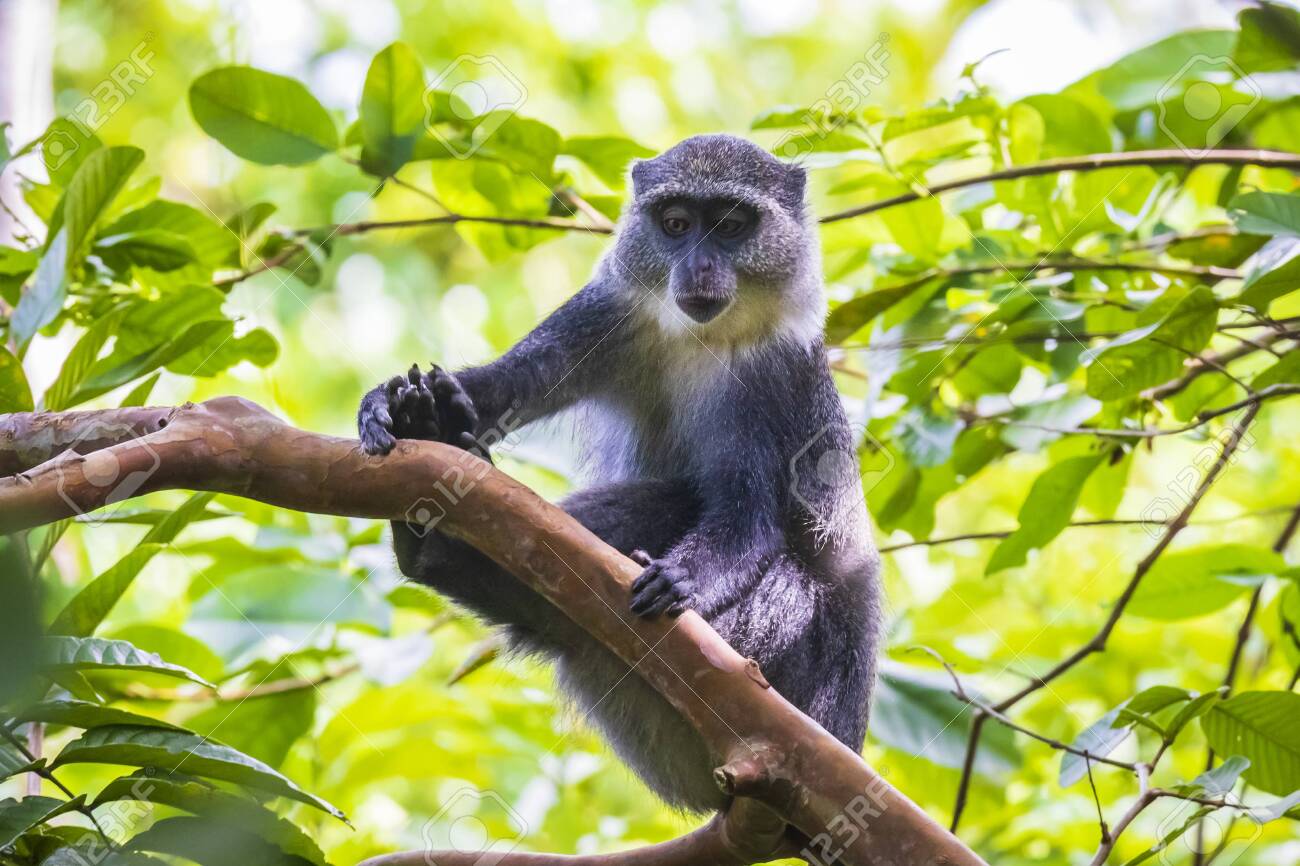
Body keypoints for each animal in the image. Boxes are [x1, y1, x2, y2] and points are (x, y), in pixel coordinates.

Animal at [357, 134, 881, 813]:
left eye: (731, 226)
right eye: (676, 224)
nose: (699, 269)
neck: (701, 336)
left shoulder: (771, 376)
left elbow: (749, 523)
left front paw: (686, 579)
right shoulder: (605, 312)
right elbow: (505, 386)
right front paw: (403, 404)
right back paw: (432, 530)